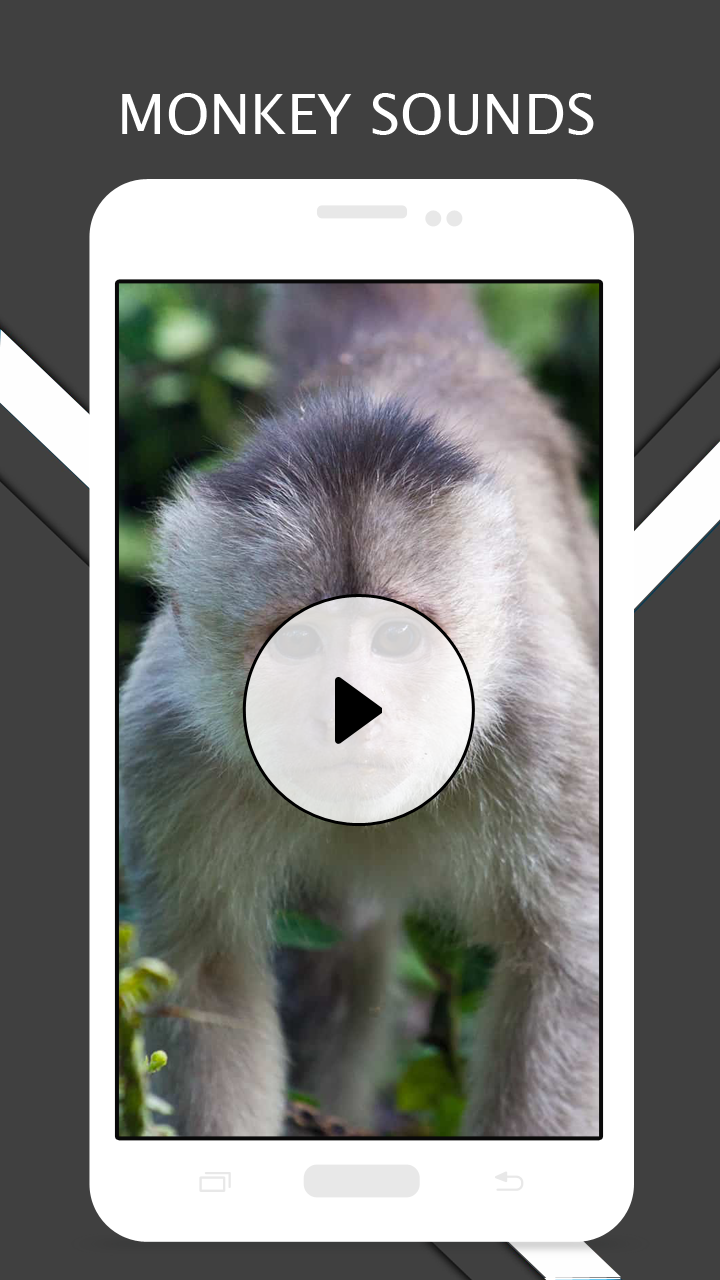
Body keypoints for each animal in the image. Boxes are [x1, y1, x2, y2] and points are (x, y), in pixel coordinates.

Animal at [119, 282, 599, 1138]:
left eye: (397, 638)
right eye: (299, 646)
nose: (349, 712)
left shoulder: (550, 730)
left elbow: (562, 968)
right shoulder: (163, 747)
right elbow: (206, 977)